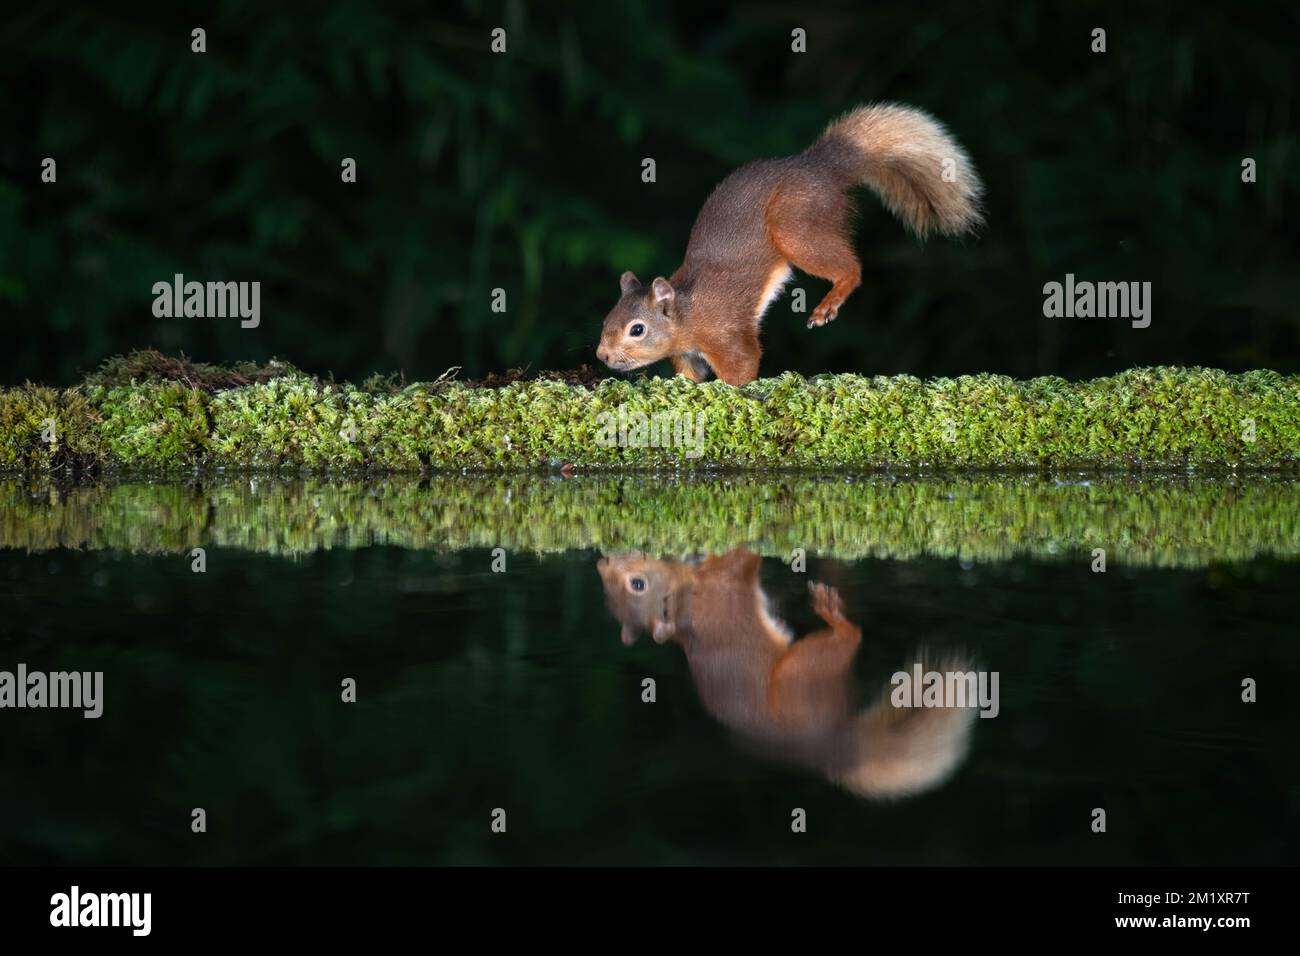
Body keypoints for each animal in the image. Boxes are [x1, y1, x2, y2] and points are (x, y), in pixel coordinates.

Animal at [595, 103, 983, 386]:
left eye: (637, 330)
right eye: (607, 318)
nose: (602, 356)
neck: (687, 312)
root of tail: (819, 167)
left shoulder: (725, 331)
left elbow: (742, 365)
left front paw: (731, 390)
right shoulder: (687, 354)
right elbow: (690, 375)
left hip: (795, 223)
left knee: (850, 268)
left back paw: (828, 305)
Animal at [596, 548, 976, 799]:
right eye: (638, 585)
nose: (608, 558)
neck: (685, 600)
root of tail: (830, 744)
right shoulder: (723, 587)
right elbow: (738, 560)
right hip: (801, 676)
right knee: (850, 638)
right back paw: (831, 612)